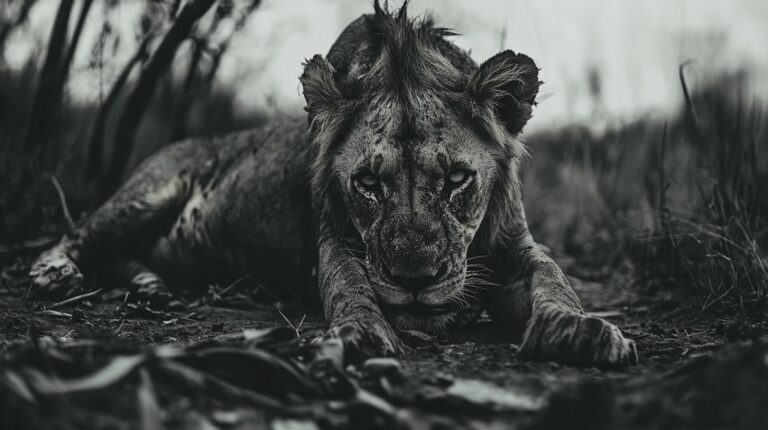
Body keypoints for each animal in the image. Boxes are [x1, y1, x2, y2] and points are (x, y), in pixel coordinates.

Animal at [29, 1, 637, 368]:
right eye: (368, 182)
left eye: (458, 179)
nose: (414, 281)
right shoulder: (335, 239)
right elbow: (351, 286)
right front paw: (360, 334)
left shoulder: (516, 244)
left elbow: (555, 278)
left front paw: (580, 329)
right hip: (149, 191)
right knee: (81, 232)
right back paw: (55, 273)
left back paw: (152, 286)